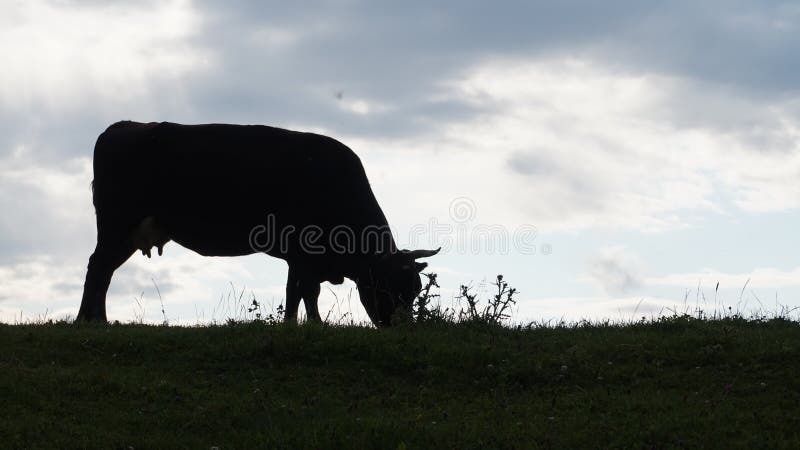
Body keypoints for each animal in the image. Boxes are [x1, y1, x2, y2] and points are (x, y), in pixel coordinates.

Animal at [77, 121, 439, 326]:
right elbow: (308, 291)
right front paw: (316, 325)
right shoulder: (304, 250)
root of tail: (121, 126)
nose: (399, 326)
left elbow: (294, 292)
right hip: (116, 224)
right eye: (386, 286)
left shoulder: (298, 257)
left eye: (415, 290)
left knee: (105, 271)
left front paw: (292, 325)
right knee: (97, 267)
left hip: (127, 233)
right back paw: (86, 320)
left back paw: (98, 320)